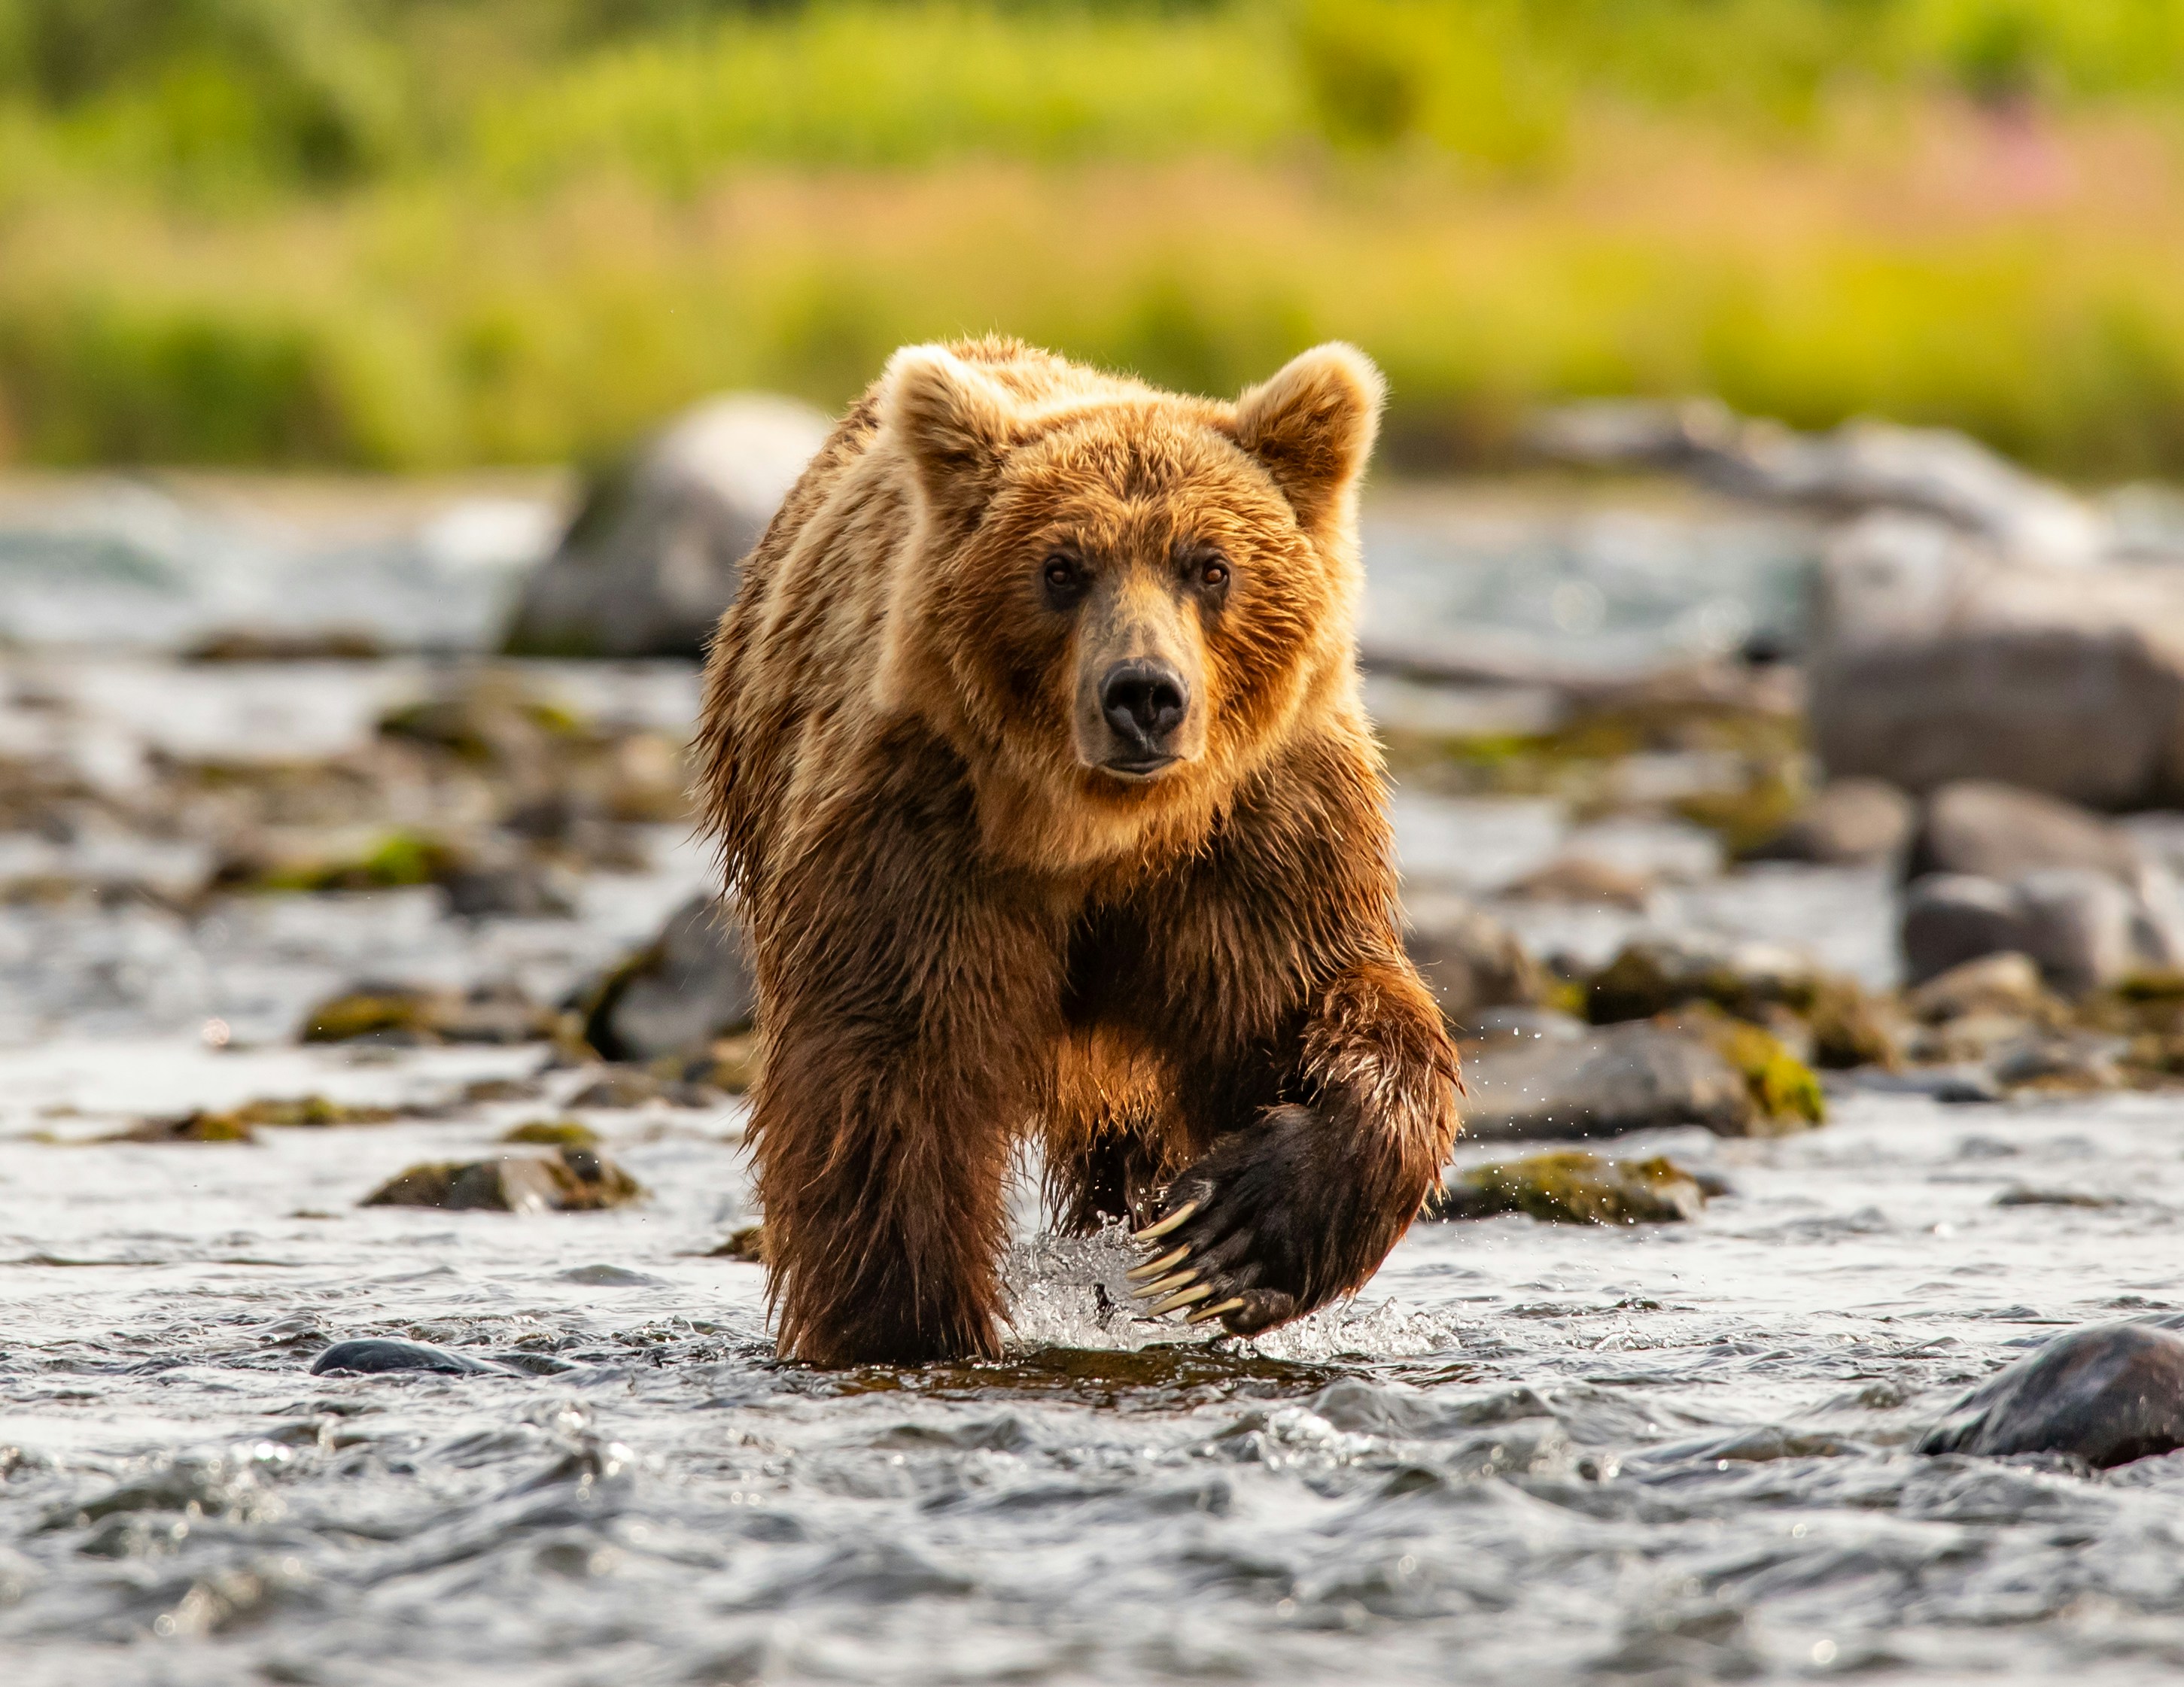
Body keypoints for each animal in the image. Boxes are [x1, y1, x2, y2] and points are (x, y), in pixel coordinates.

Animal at [696, 336, 1461, 1366]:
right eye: (1061, 568)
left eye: (1209, 566)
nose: (1142, 694)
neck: (1096, 836)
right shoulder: (919, 837)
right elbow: (889, 1081)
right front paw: (911, 1322)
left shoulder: (1256, 841)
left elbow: (1324, 1005)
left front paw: (1229, 1235)